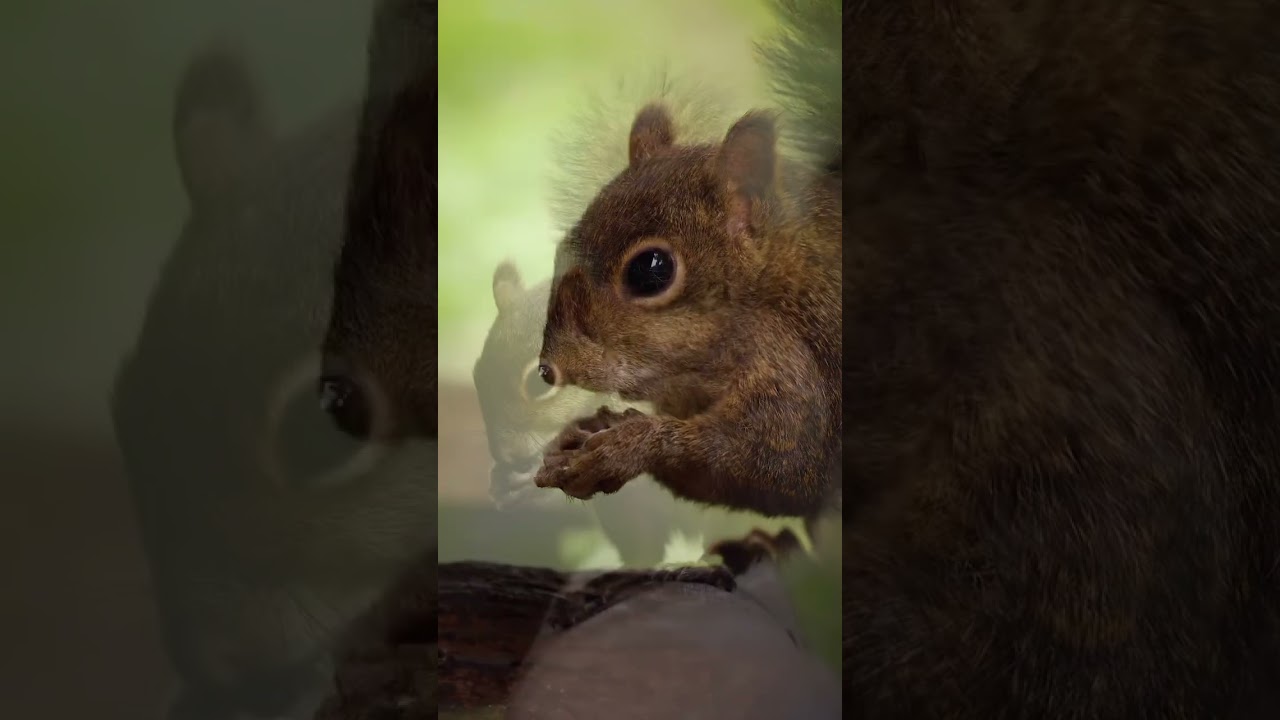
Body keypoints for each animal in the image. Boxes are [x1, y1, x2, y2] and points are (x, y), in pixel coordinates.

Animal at [532, 0, 842, 543]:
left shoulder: (789, 369)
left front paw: (631, 443)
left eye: (650, 271)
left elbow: (780, 463)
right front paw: (591, 429)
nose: (551, 368)